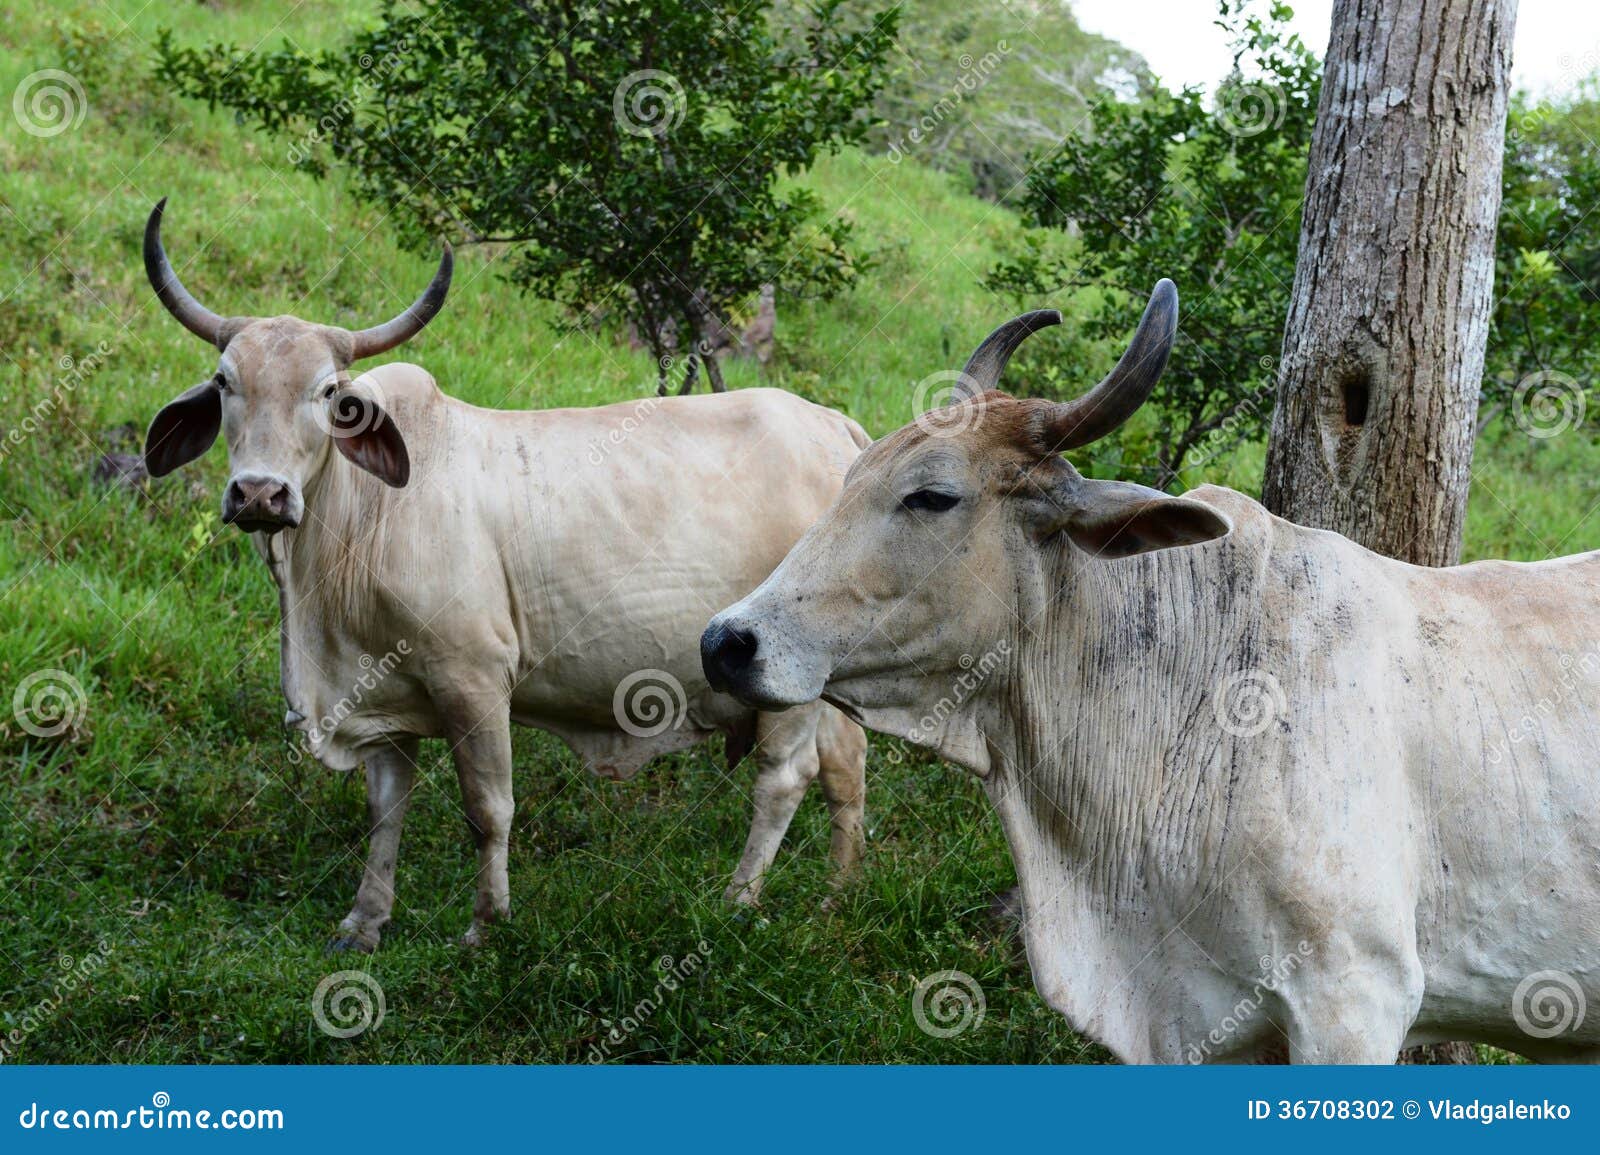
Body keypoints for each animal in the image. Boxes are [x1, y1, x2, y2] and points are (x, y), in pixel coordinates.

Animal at [139, 199, 870, 950]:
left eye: (327, 393)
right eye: (225, 382)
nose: (260, 494)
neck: (357, 524)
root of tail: (836, 430)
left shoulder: (473, 678)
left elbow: (488, 808)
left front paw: (486, 925)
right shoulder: (382, 692)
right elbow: (385, 811)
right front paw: (365, 921)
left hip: (780, 684)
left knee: (784, 778)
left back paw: (737, 900)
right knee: (846, 764)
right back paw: (836, 897)